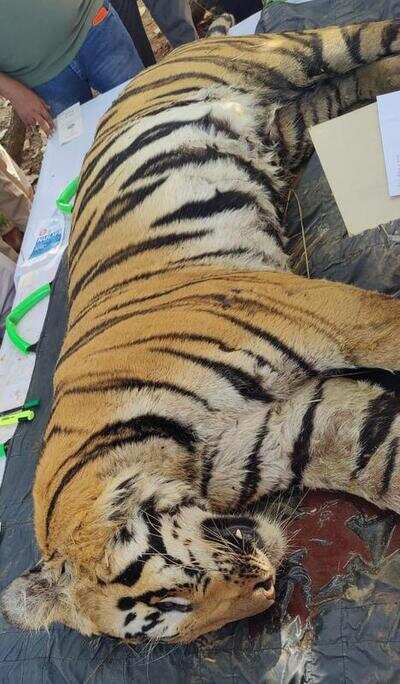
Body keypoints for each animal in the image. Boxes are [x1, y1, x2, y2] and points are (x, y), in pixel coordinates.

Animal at [2, 18, 400, 645]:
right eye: (173, 627)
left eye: (169, 598)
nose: (267, 589)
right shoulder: (295, 427)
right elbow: (377, 453)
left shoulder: (324, 311)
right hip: (287, 127)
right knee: (348, 88)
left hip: (287, 51)